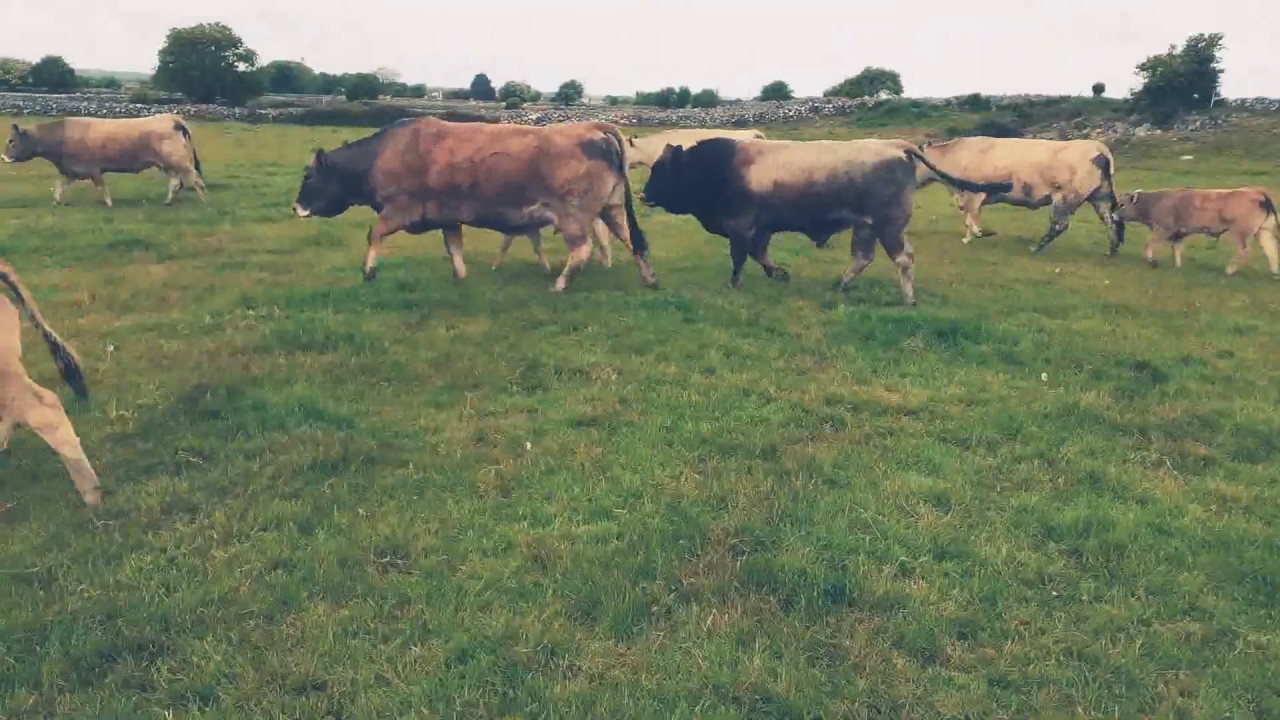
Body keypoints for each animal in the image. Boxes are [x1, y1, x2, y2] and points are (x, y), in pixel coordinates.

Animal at [3, 114, 207, 207]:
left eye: (11, 141)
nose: (3, 157)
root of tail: (172, 117)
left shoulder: (93, 169)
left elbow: (102, 186)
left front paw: (109, 203)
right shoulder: (73, 171)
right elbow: (59, 185)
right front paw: (56, 202)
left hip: (180, 162)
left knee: (196, 180)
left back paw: (205, 203)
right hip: (167, 165)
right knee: (175, 183)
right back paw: (167, 202)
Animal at [290, 117, 658, 292]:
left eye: (308, 176)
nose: (295, 208)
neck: (385, 152)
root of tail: (595, 126)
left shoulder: (399, 209)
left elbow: (374, 234)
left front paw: (368, 272)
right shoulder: (447, 216)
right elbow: (454, 247)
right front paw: (461, 276)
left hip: (573, 216)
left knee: (582, 250)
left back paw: (560, 284)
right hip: (611, 209)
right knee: (632, 241)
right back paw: (649, 279)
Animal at [639, 137, 1013, 305]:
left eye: (661, 170)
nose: (642, 195)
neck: (718, 166)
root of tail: (894, 144)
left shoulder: (741, 228)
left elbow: (740, 259)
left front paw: (735, 285)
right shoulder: (760, 230)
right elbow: (761, 256)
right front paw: (779, 273)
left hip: (888, 226)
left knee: (903, 259)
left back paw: (907, 299)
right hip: (866, 226)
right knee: (862, 258)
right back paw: (841, 285)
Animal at [914, 136, 1123, 255]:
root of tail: (1097, 146)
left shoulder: (972, 194)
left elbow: (971, 220)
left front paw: (978, 234)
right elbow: (968, 220)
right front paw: (968, 238)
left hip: (1064, 198)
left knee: (1059, 225)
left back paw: (1036, 248)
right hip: (1100, 196)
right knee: (1109, 219)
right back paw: (1112, 250)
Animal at [1113, 187, 1280, 277]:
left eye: (1122, 204)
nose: (1113, 216)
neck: (1156, 201)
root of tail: (1257, 191)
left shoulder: (1164, 229)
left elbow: (1148, 243)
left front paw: (1151, 260)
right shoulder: (1177, 234)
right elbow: (1176, 249)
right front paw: (1177, 266)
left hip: (1241, 233)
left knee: (1244, 249)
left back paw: (1229, 270)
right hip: (1263, 231)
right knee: (1270, 250)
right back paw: (1275, 273)